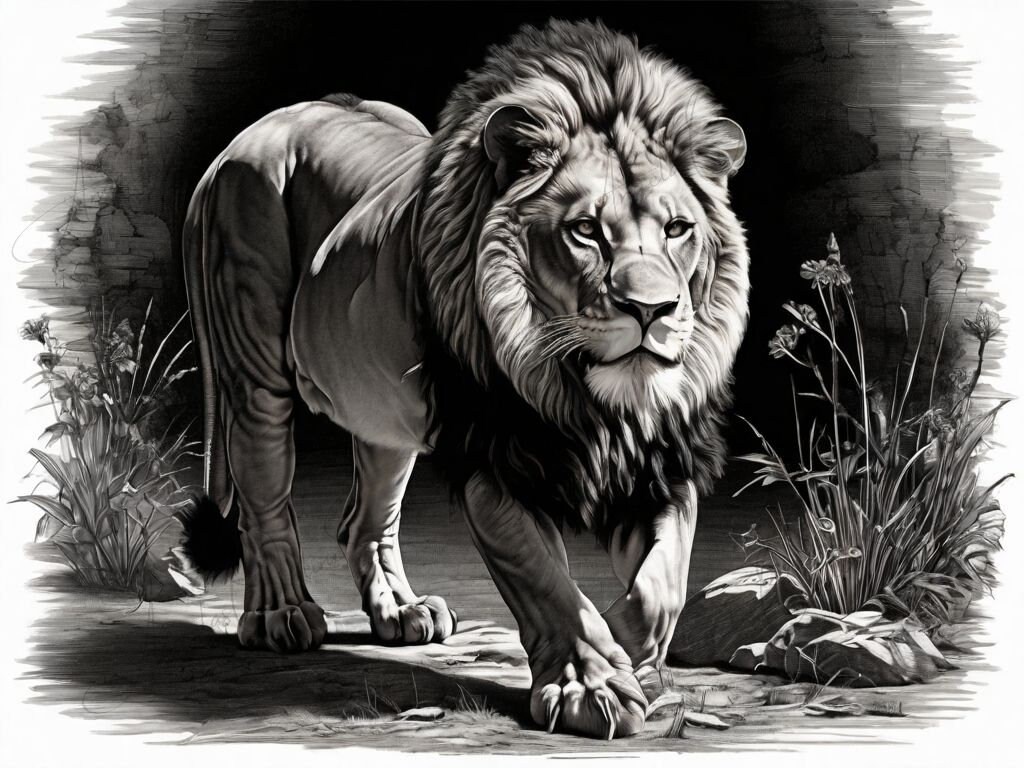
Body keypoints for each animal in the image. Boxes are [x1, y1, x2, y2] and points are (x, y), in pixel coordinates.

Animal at [180, 20, 748, 739]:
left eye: (678, 229)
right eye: (585, 231)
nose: (652, 310)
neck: (586, 394)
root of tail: (246, 137)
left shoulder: (660, 457)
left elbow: (662, 585)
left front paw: (630, 654)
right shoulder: (493, 459)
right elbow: (545, 581)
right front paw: (590, 682)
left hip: (383, 415)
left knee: (366, 520)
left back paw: (402, 612)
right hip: (252, 346)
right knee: (265, 498)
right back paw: (281, 613)